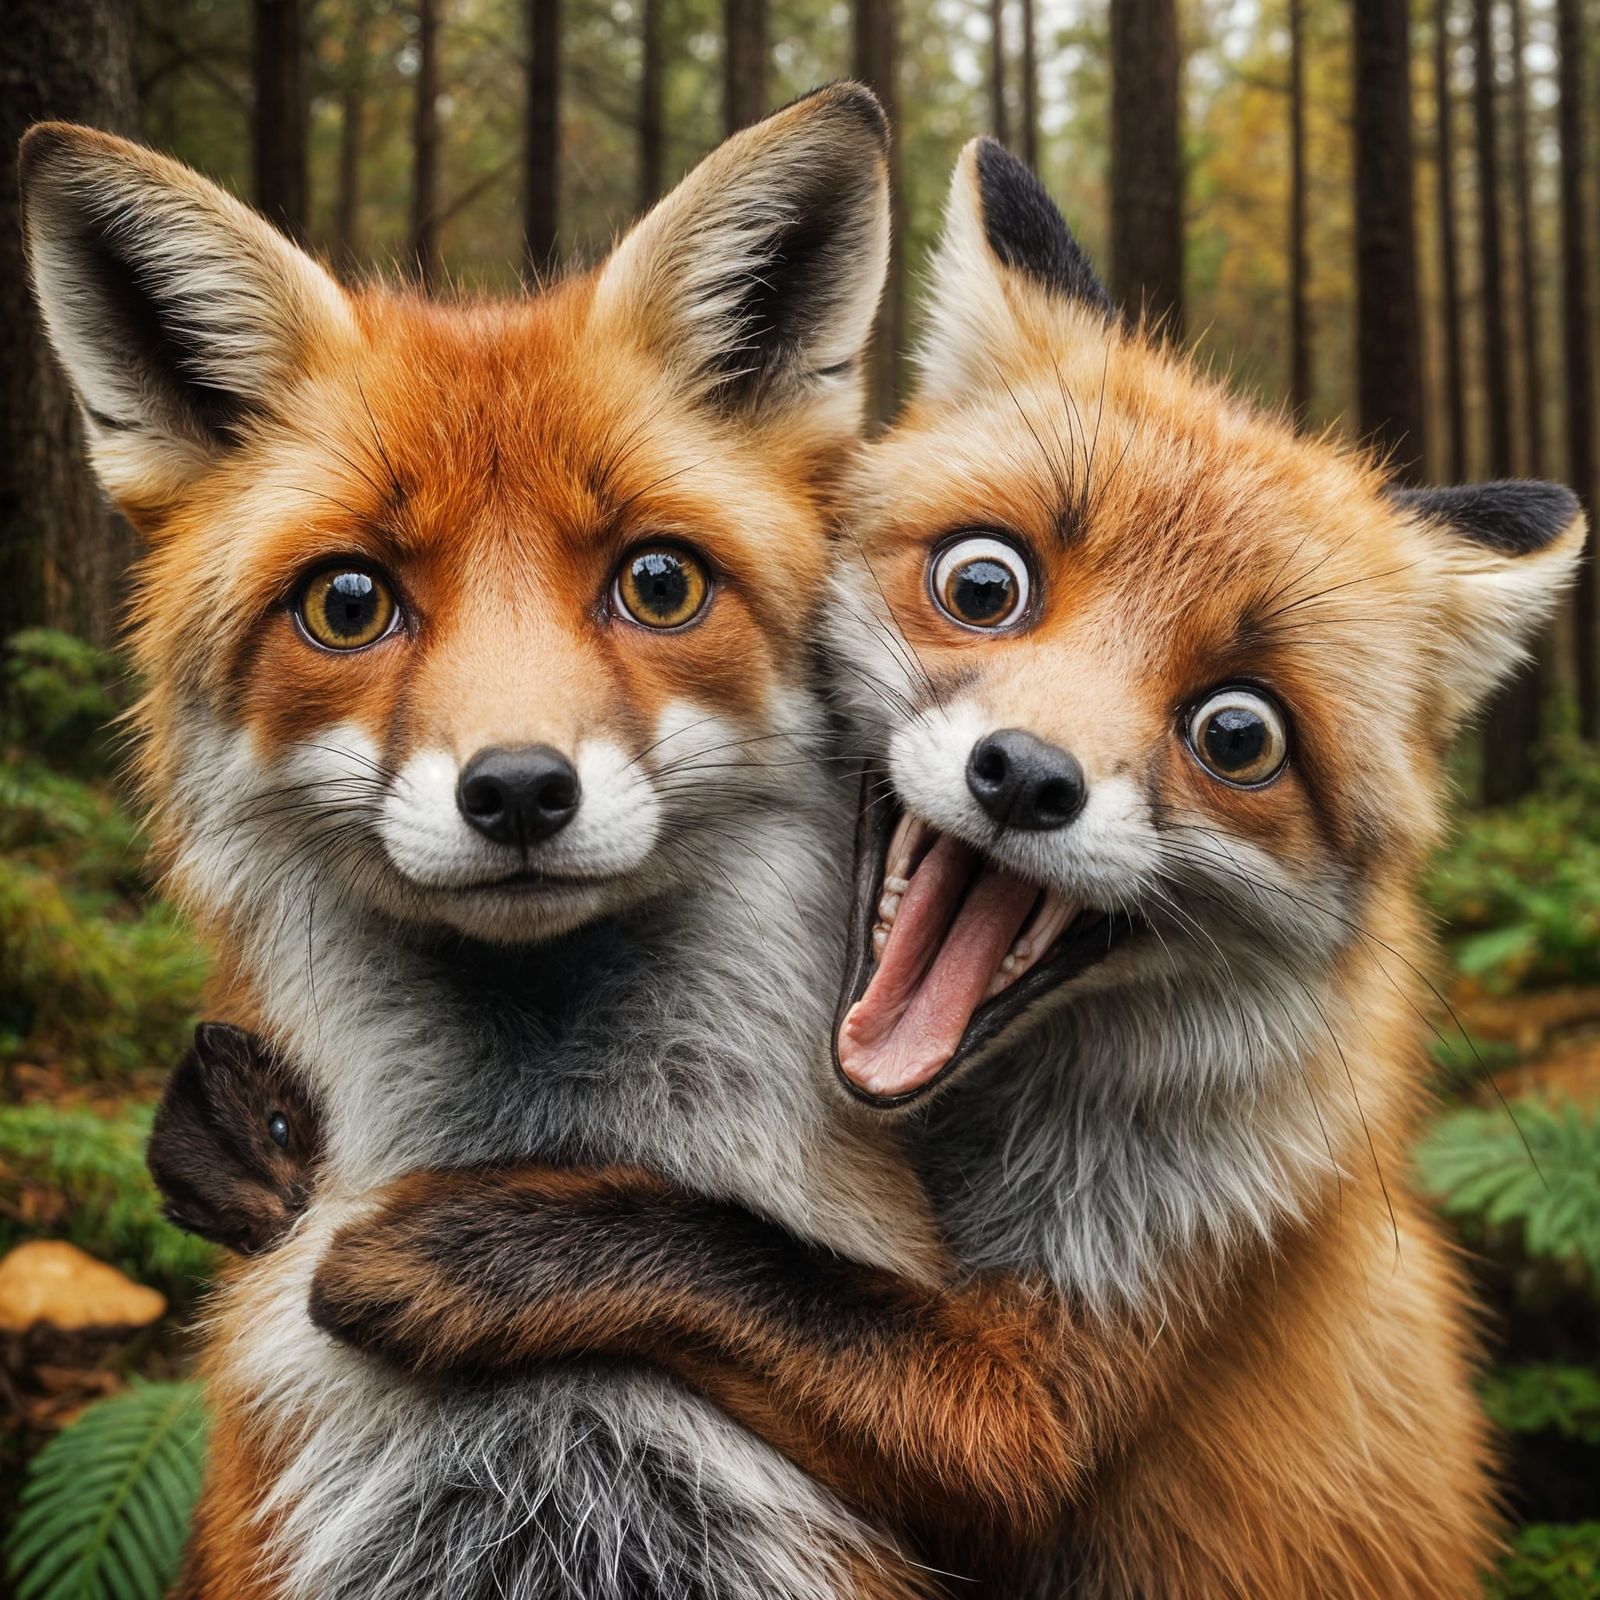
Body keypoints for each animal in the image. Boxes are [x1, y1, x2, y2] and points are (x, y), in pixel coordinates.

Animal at [220, 141, 1586, 1597]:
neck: (945, 1136)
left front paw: (482, 1249)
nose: (1026, 776)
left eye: (1238, 734)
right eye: (985, 583)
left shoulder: (1068, 1366)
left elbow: (761, 1269)